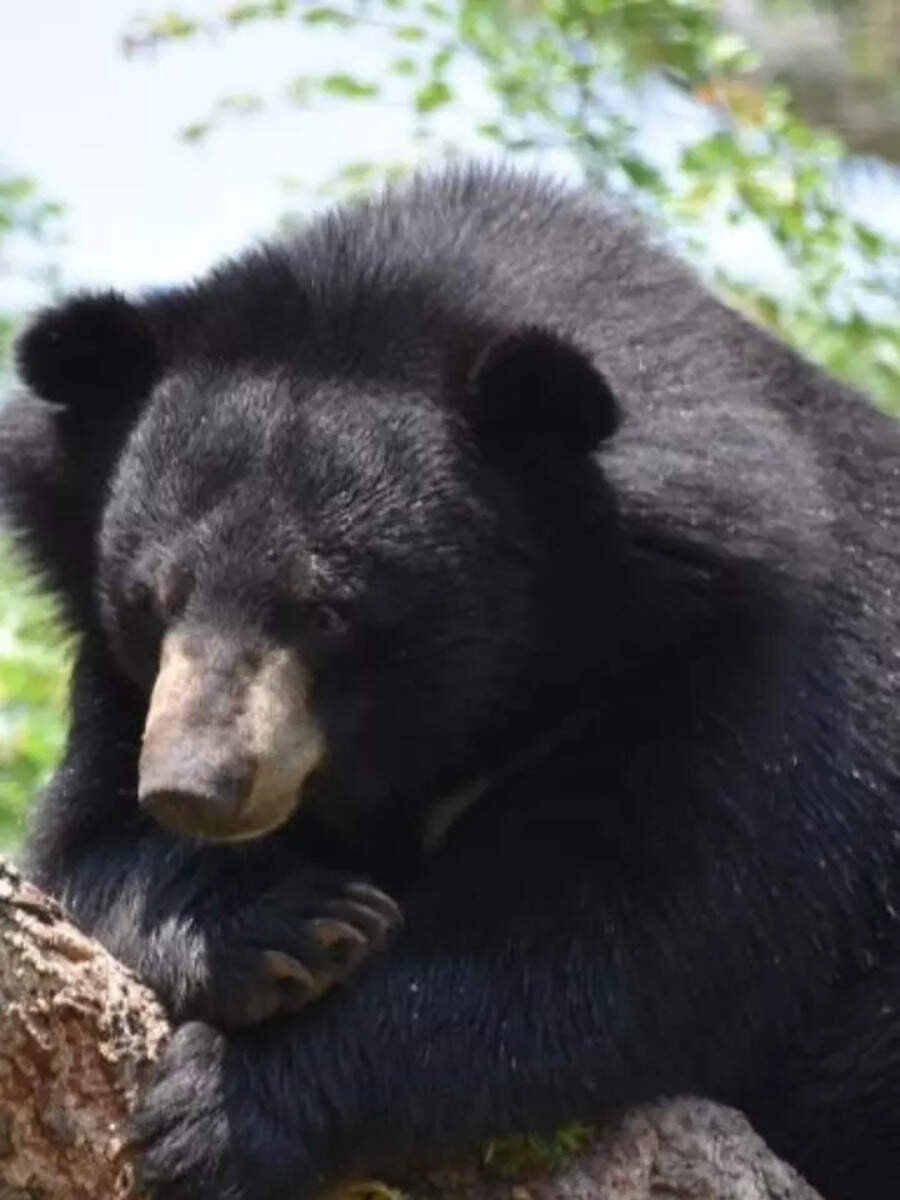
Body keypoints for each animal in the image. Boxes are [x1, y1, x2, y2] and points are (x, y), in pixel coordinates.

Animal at [0, 166, 898, 1200]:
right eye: (154, 596)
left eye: (327, 611)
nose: (197, 788)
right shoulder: (124, 689)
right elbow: (86, 848)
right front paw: (281, 926)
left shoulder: (749, 671)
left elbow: (643, 932)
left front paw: (217, 1114)